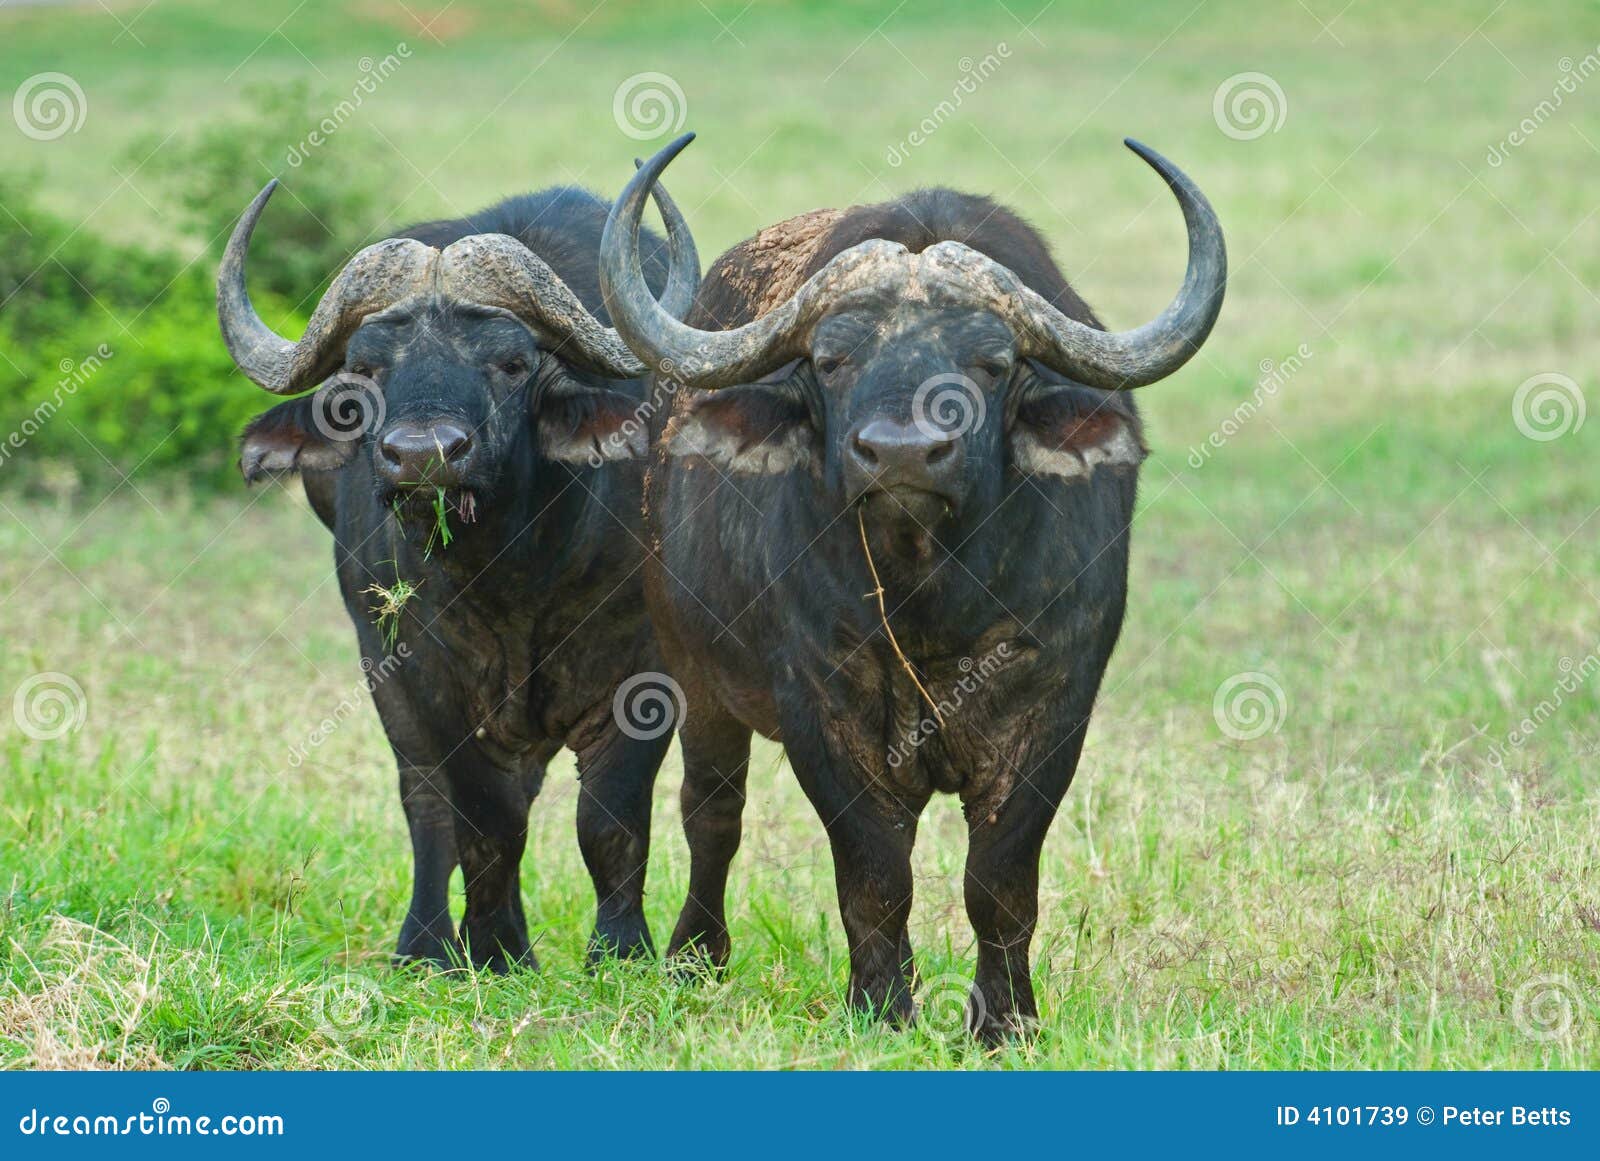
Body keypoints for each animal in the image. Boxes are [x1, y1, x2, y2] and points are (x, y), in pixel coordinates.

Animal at [216, 175, 699, 971]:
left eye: (512, 363)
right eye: (367, 370)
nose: (422, 454)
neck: (518, 573)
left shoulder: (645, 669)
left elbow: (610, 819)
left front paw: (620, 951)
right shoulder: (425, 673)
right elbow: (481, 819)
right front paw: (496, 949)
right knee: (426, 802)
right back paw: (424, 944)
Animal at [598, 134, 1225, 1039]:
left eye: (992, 364)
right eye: (831, 360)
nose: (900, 452)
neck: (931, 596)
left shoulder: (1056, 702)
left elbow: (999, 880)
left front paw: (1004, 1021)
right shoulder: (821, 707)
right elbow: (875, 873)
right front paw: (881, 1008)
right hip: (695, 674)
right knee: (711, 811)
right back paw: (693, 956)